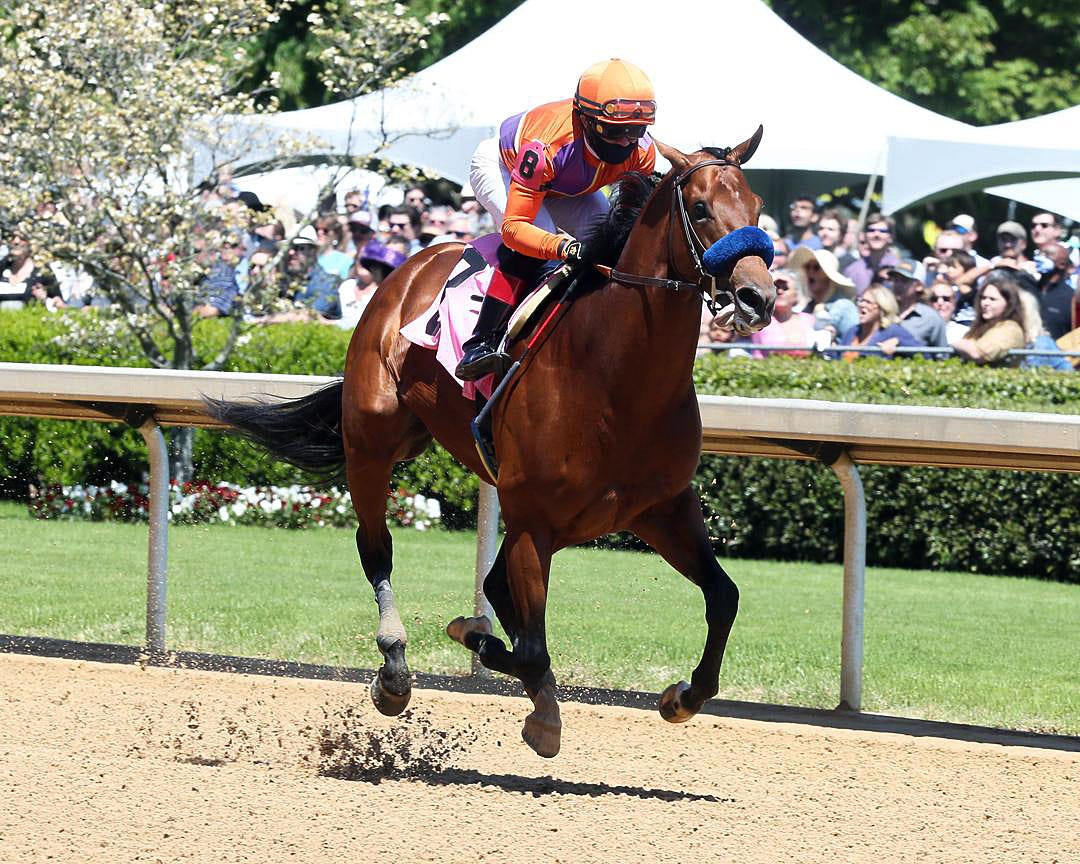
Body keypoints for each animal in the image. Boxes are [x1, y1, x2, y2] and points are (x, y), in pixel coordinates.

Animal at [209, 131, 775, 758]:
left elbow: (724, 596)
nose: (757, 298)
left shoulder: (661, 508)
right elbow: (528, 646)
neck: (616, 377)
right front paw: (496, 664)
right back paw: (394, 670)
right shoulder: (533, 522)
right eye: (699, 208)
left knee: (495, 584)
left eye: (756, 208)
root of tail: (410, 267)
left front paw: (682, 696)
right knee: (377, 548)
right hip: (373, 444)